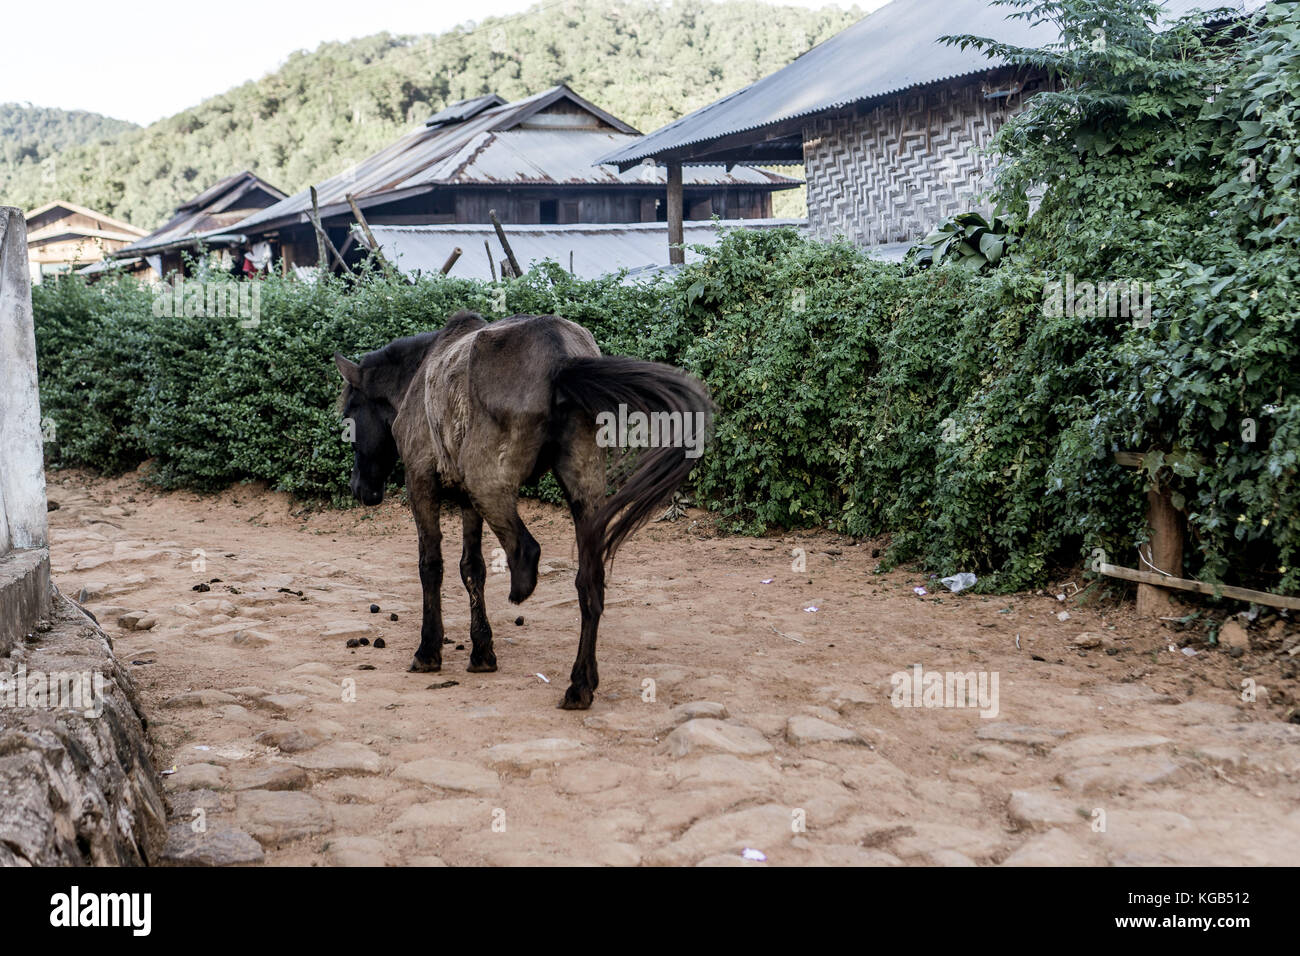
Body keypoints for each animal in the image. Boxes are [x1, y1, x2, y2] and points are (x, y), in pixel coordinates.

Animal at [334, 310, 712, 709]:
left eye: (349, 415)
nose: (359, 488)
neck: (419, 372)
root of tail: (560, 357)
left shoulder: (421, 483)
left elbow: (431, 566)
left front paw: (429, 651)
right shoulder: (467, 501)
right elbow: (472, 569)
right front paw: (482, 652)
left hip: (487, 484)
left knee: (526, 551)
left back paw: (523, 590)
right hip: (581, 495)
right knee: (589, 582)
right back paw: (581, 684)